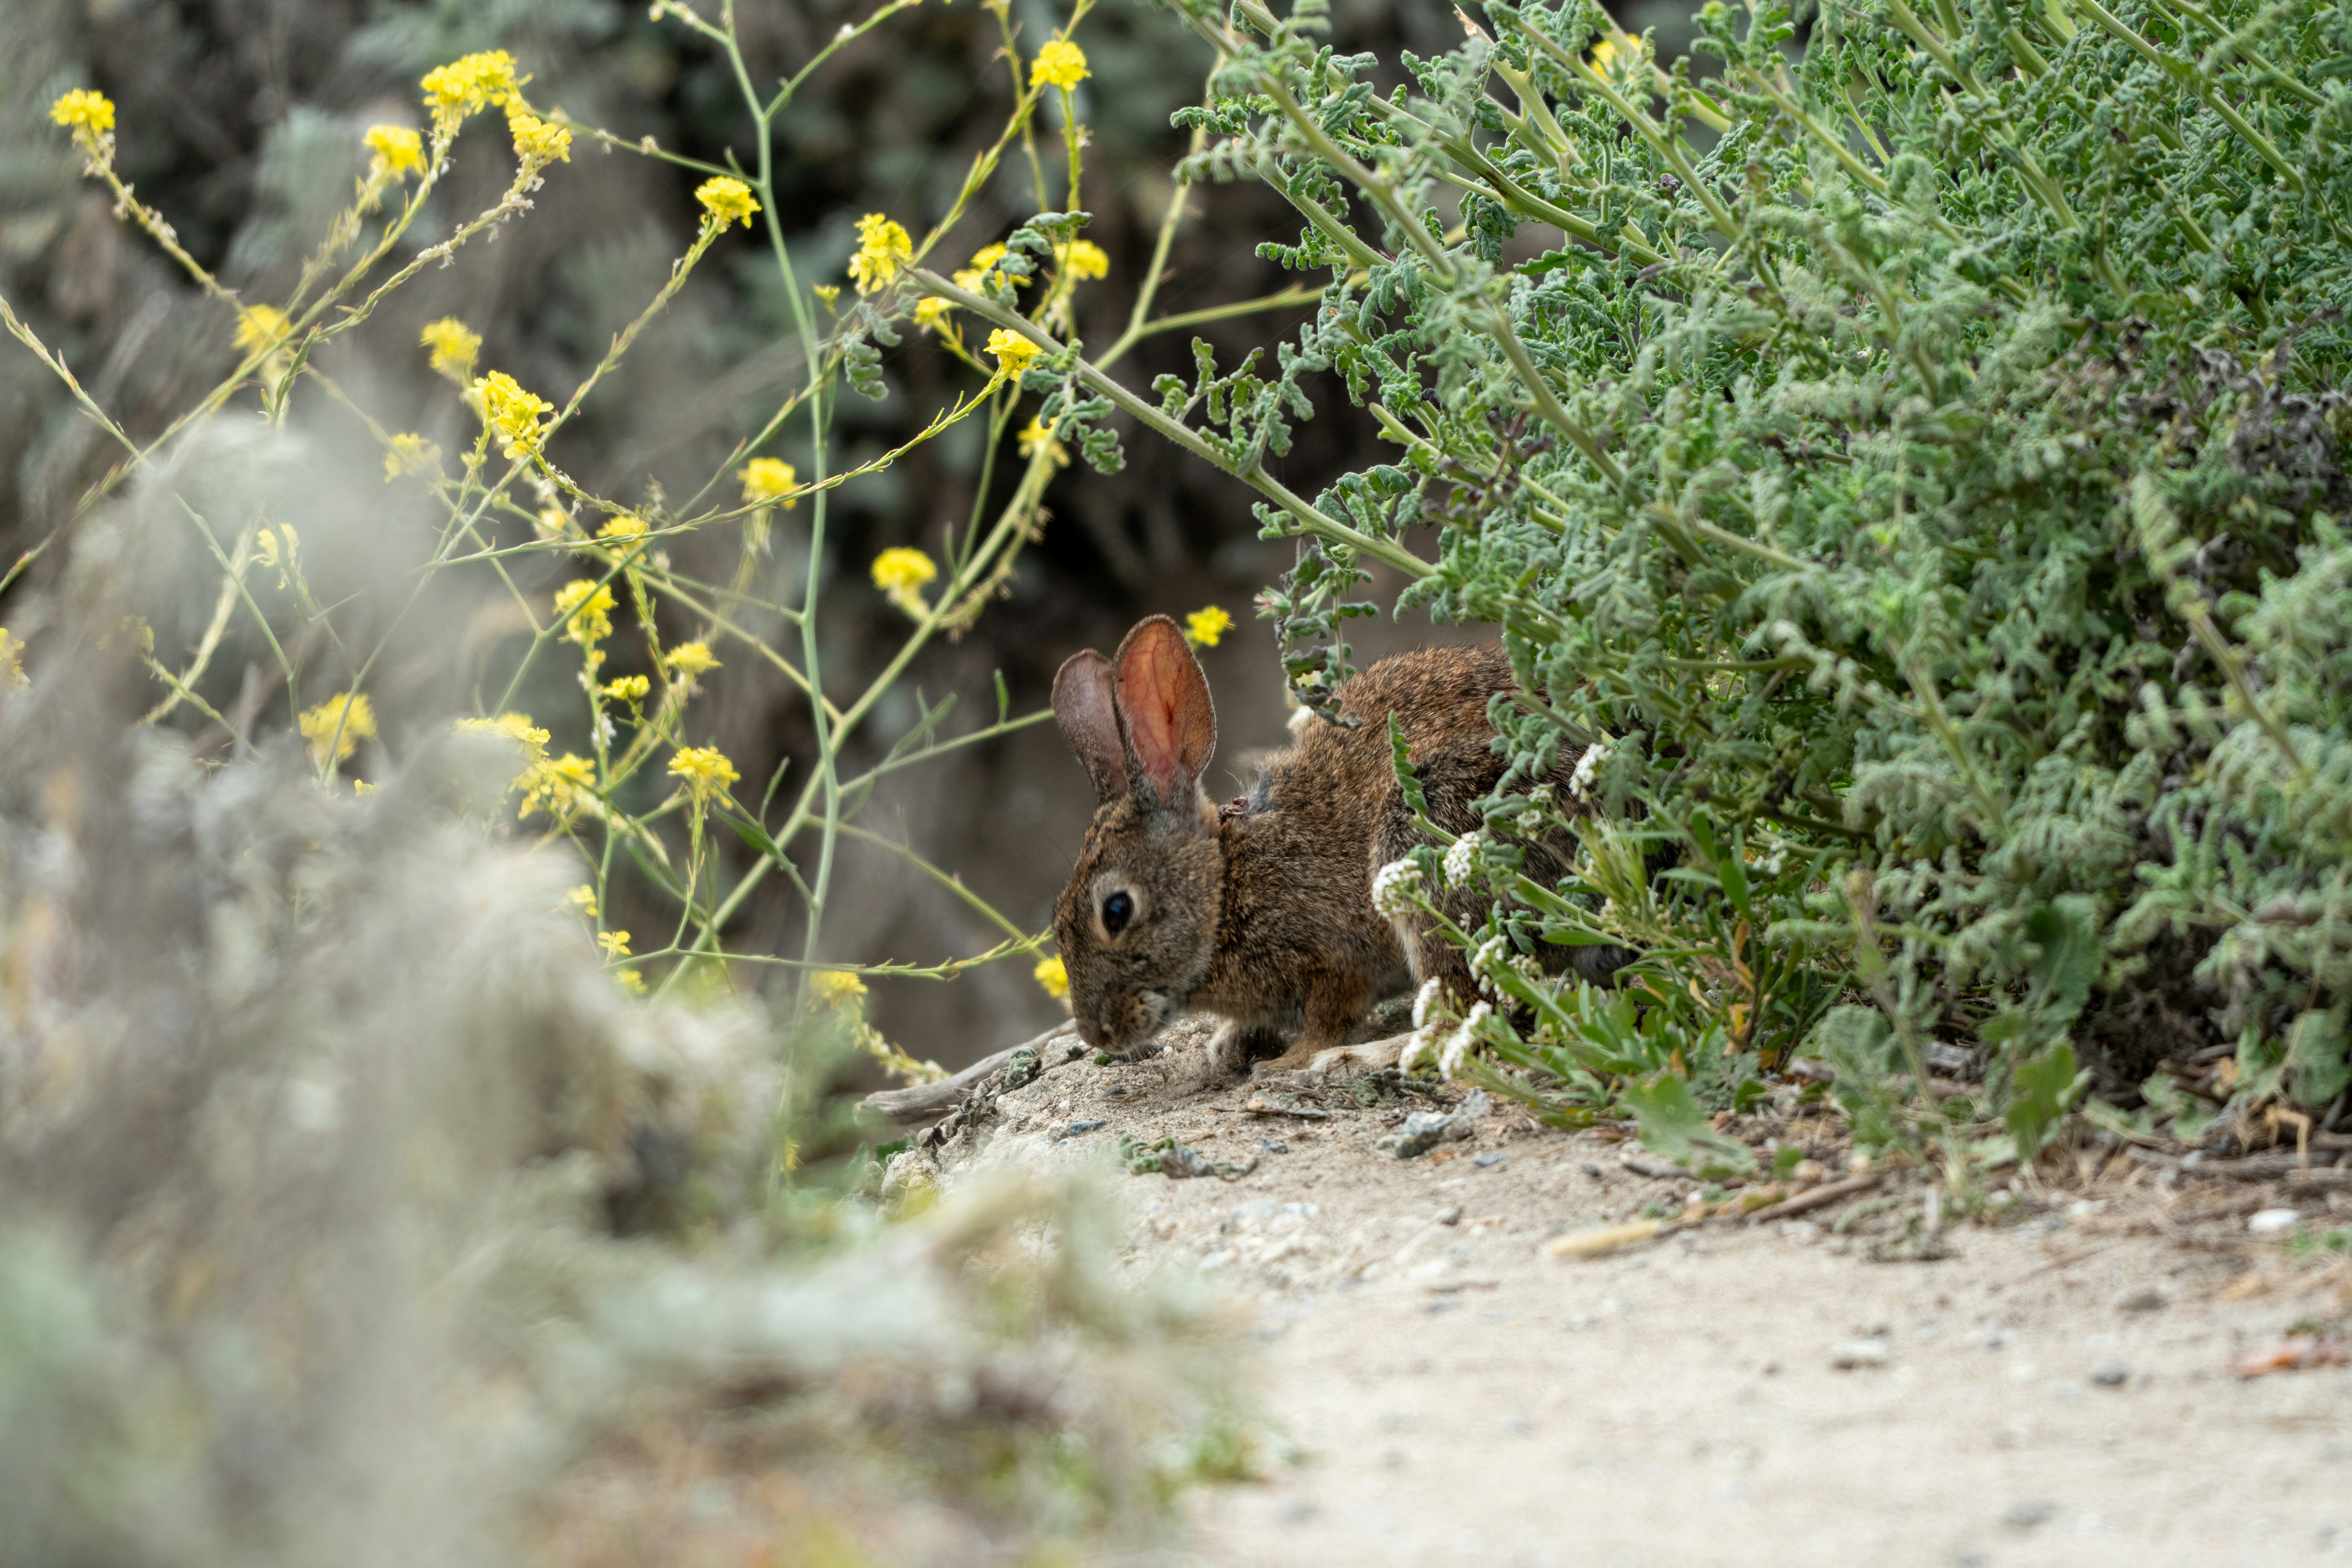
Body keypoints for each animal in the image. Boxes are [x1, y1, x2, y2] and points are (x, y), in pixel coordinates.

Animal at [1049, 614, 1631, 1079]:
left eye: (1117, 911)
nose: (1096, 1035)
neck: (1225, 891)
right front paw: (1228, 1046)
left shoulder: (1336, 959)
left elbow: (1329, 1016)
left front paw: (1290, 1060)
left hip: (1427, 841)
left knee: (1467, 1016)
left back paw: (1363, 1058)